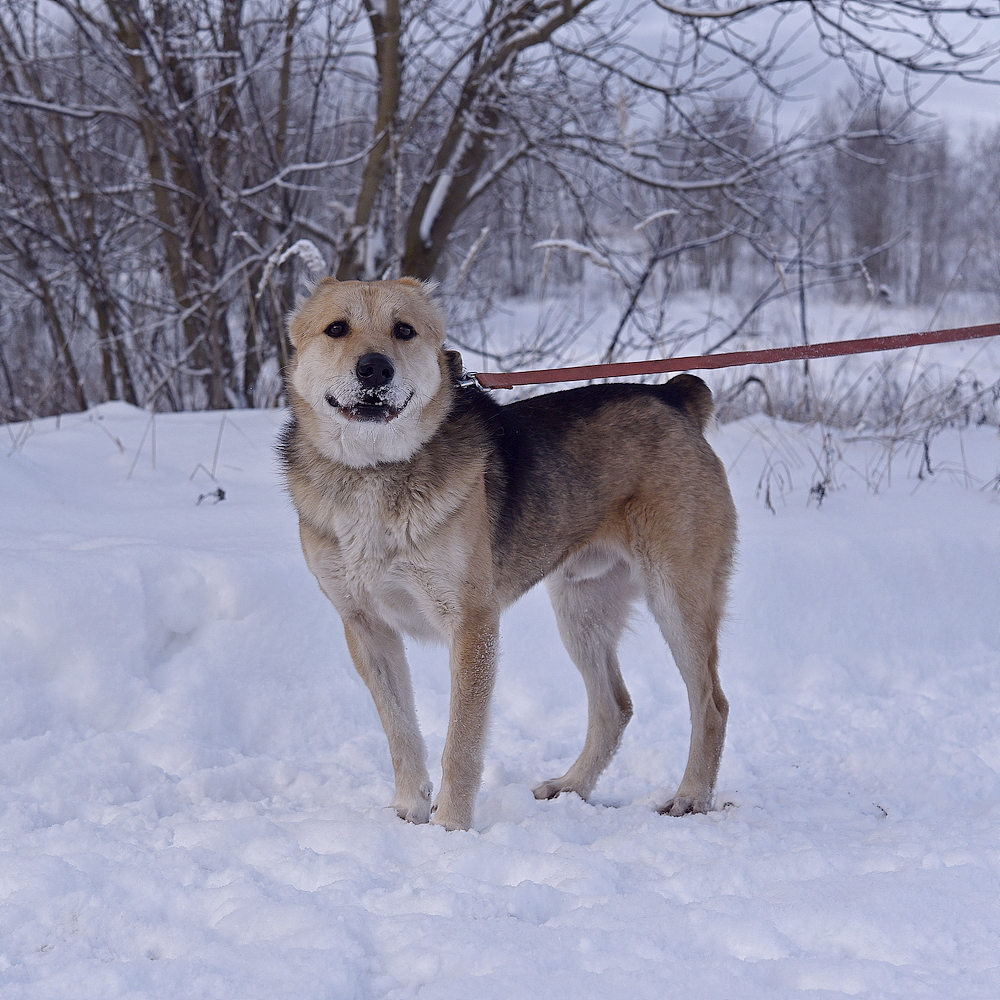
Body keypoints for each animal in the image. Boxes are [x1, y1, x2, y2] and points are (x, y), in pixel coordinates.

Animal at [280, 278, 736, 832]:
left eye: (404, 331)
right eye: (336, 329)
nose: (375, 368)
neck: (376, 470)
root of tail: (671, 395)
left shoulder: (472, 624)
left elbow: (461, 743)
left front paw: (450, 828)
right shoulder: (365, 626)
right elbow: (401, 733)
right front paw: (409, 812)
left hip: (677, 597)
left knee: (711, 704)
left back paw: (690, 796)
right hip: (581, 608)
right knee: (614, 706)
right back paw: (570, 787)